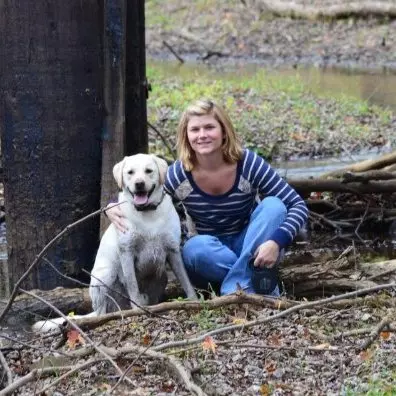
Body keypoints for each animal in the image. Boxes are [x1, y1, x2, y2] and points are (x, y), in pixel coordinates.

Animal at [33, 153, 196, 332]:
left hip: (161, 277)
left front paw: (195, 301)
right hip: (105, 275)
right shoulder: (127, 251)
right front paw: (138, 310)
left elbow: (186, 280)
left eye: (149, 171)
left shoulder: (173, 250)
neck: (147, 214)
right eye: (130, 172)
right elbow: (132, 286)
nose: (139, 184)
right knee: (102, 311)